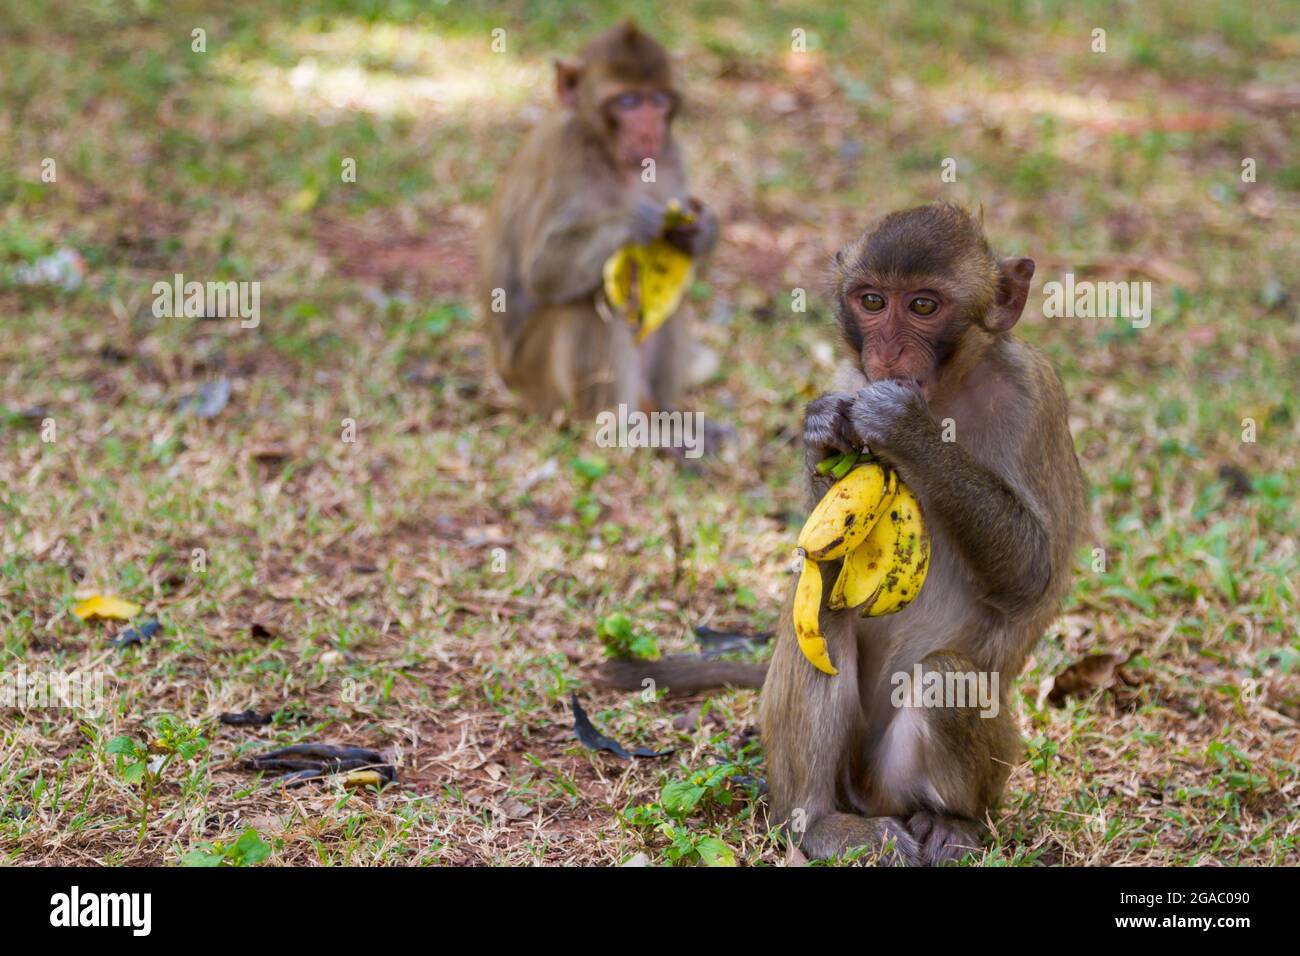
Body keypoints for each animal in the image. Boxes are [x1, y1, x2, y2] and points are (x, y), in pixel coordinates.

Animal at [479, 20, 719, 420]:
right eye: (627, 102)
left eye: (658, 100)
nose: (649, 131)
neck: (610, 154)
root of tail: (504, 378)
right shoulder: (567, 158)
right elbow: (542, 269)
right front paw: (632, 221)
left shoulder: (671, 154)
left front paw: (697, 229)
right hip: (538, 382)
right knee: (591, 302)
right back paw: (621, 426)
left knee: (667, 295)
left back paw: (667, 415)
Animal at [759, 202, 1086, 865]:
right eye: (872, 301)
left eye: (923, 307)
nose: (886, 354)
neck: (949, 390)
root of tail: (866, 795)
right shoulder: (847, 373)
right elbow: (817, 553)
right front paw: (823, 430)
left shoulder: (1035, 394)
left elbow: (1034, 574)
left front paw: (904, 428)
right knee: (820, 612)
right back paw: (815, 822)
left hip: (937, 779)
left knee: (947, 677)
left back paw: (951, 823)